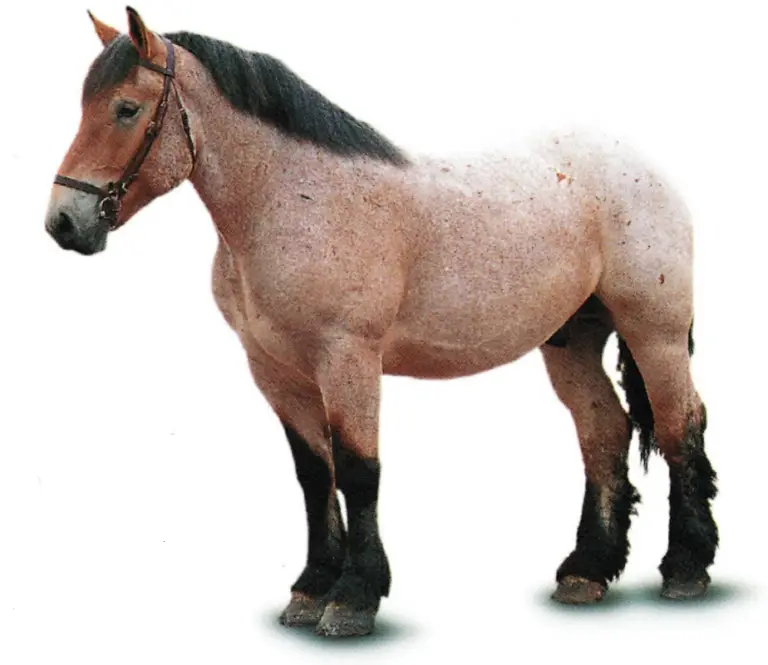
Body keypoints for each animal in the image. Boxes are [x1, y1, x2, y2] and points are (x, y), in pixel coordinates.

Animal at [45, 7, 719, 637]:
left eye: (127, 109)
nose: (64, 222)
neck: (293, 200)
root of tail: (643, 168)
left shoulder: (348, 357)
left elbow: (359, 470)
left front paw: (353, 599)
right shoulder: (275, 369)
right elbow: (314, 474)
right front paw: (310, 587)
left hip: (653, 331)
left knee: (680, 425)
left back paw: (686, 568)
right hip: (571, 338)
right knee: (603, 431)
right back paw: (586, 571)